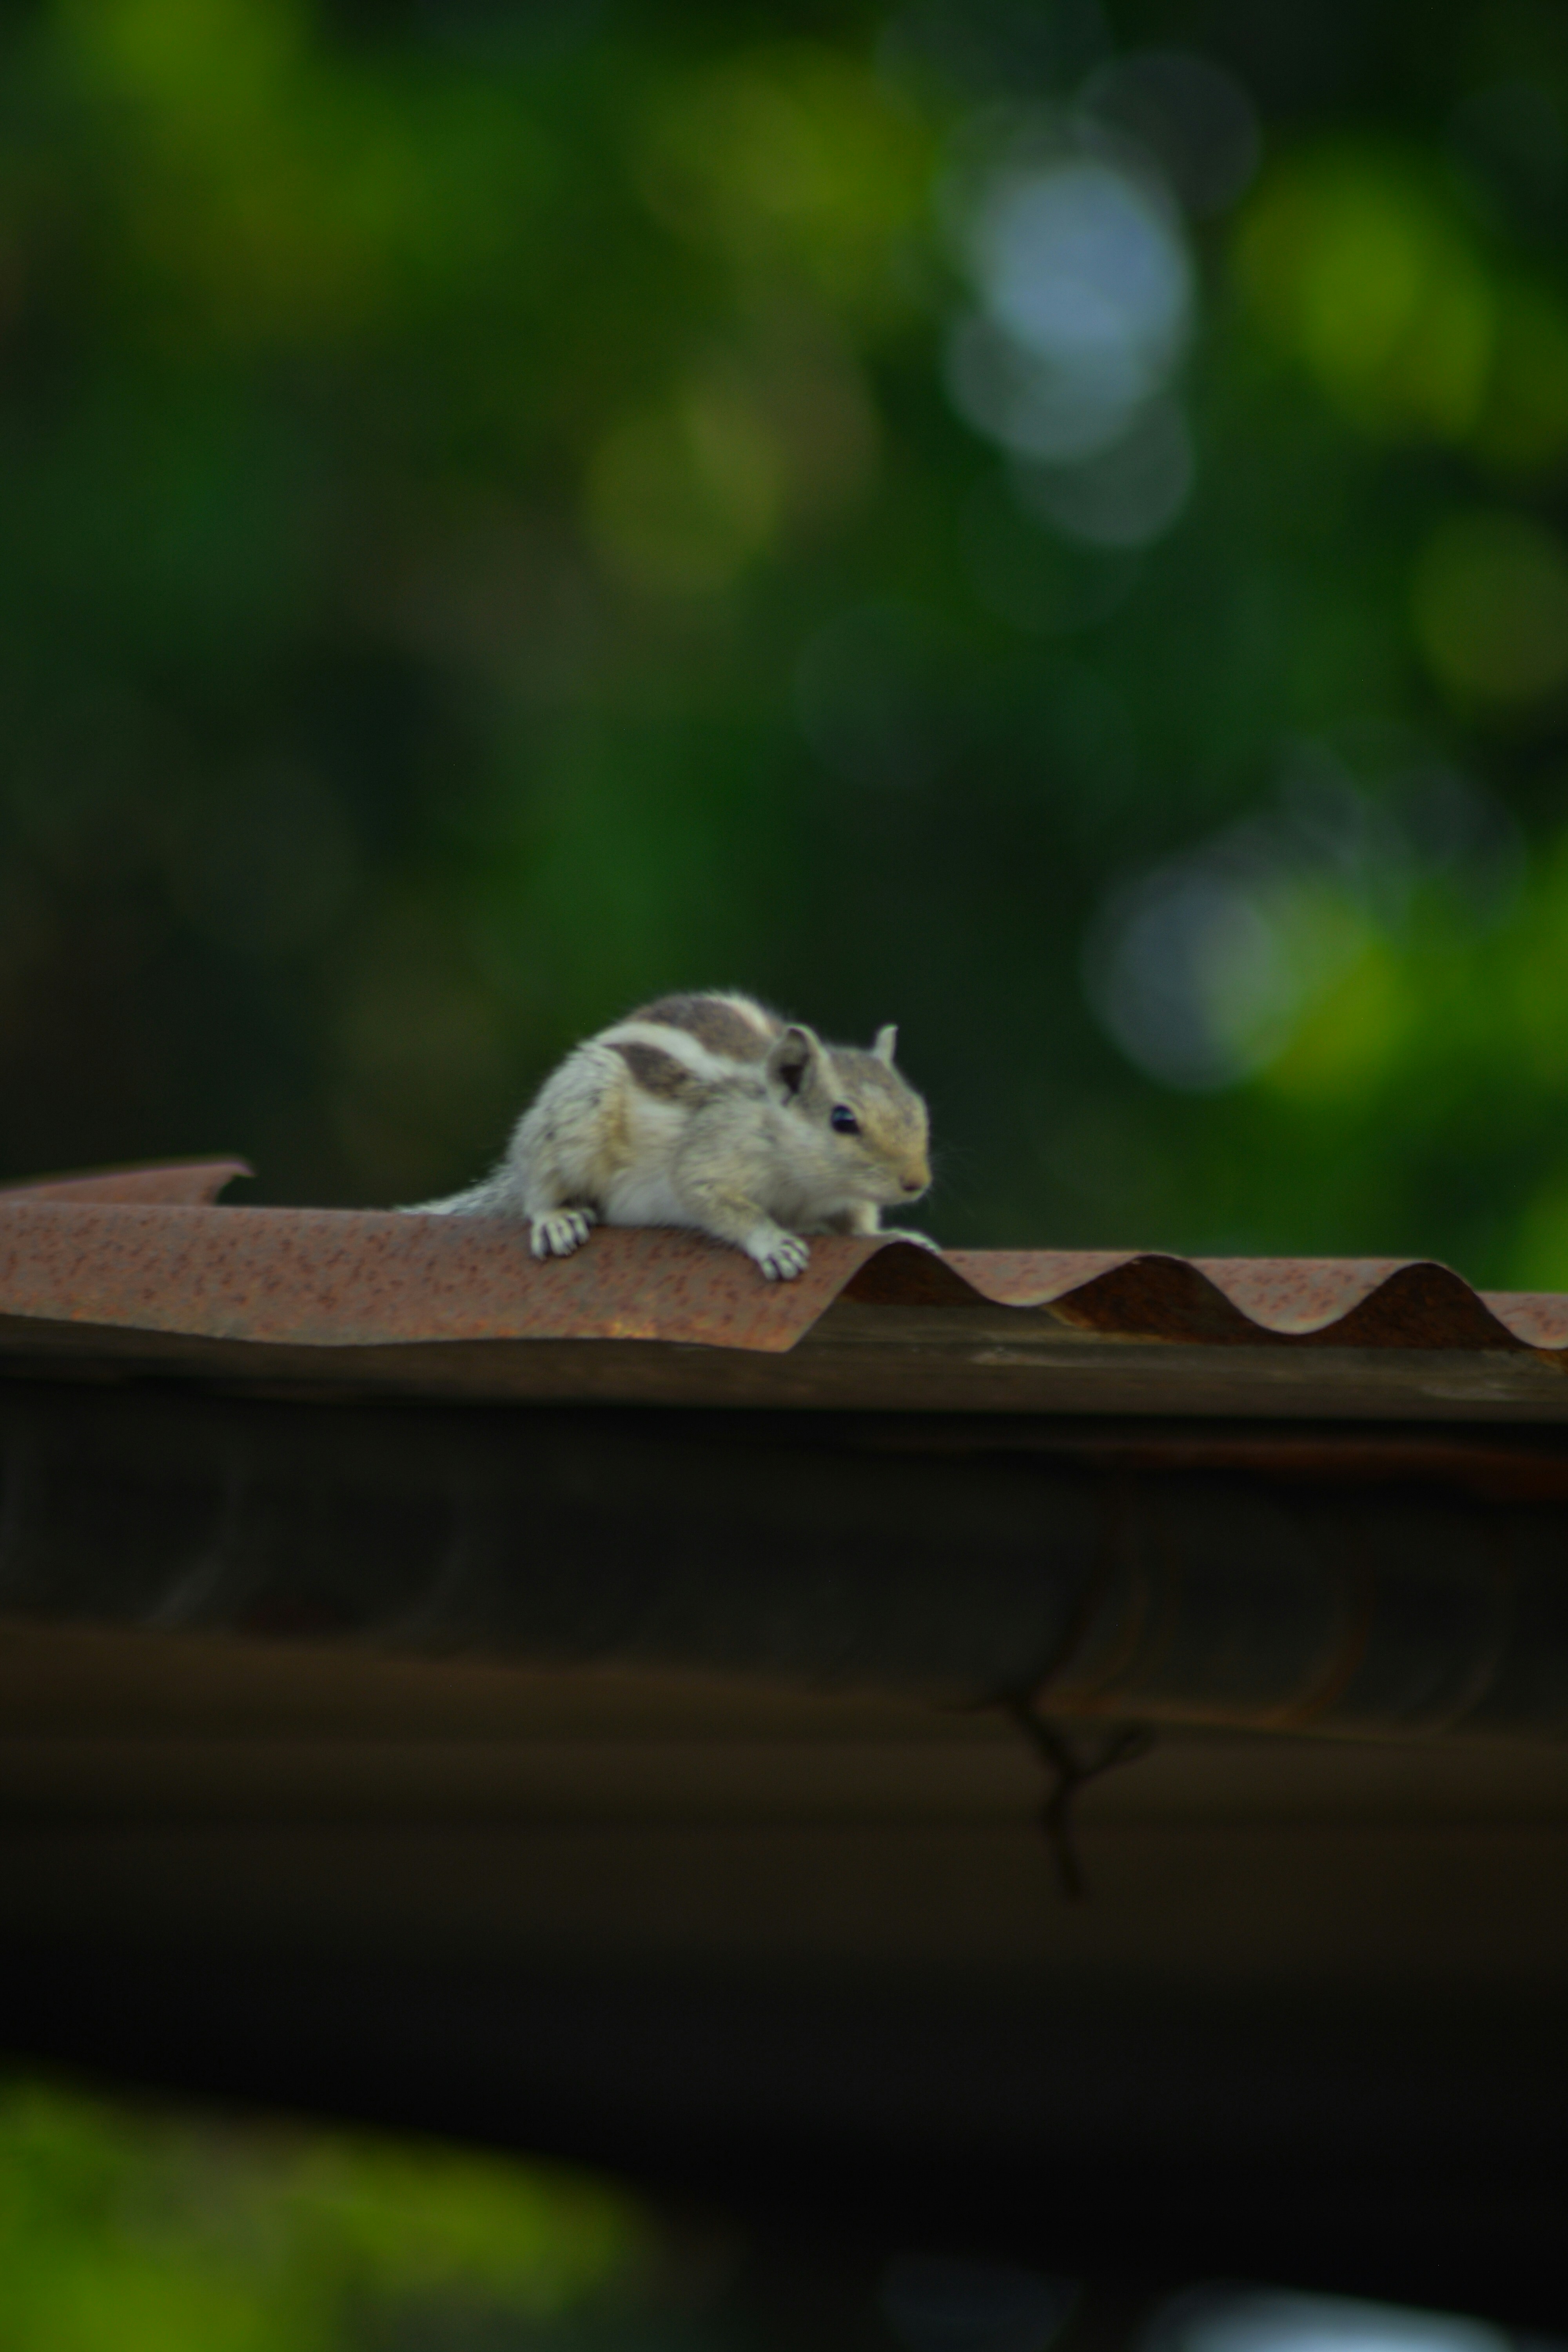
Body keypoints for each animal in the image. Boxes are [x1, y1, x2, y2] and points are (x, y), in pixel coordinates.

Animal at [412, 991, 935, 1280]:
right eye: (843, 1120)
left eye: (917, 1106)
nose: (917, 1182)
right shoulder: (710, 1157)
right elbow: (713, 1199)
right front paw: (773, 1243)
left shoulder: (846, 1199)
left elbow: (860, 1224)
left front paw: (898, 1237)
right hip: (575, 1115)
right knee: (538, 1188)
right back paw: (554, 1218)